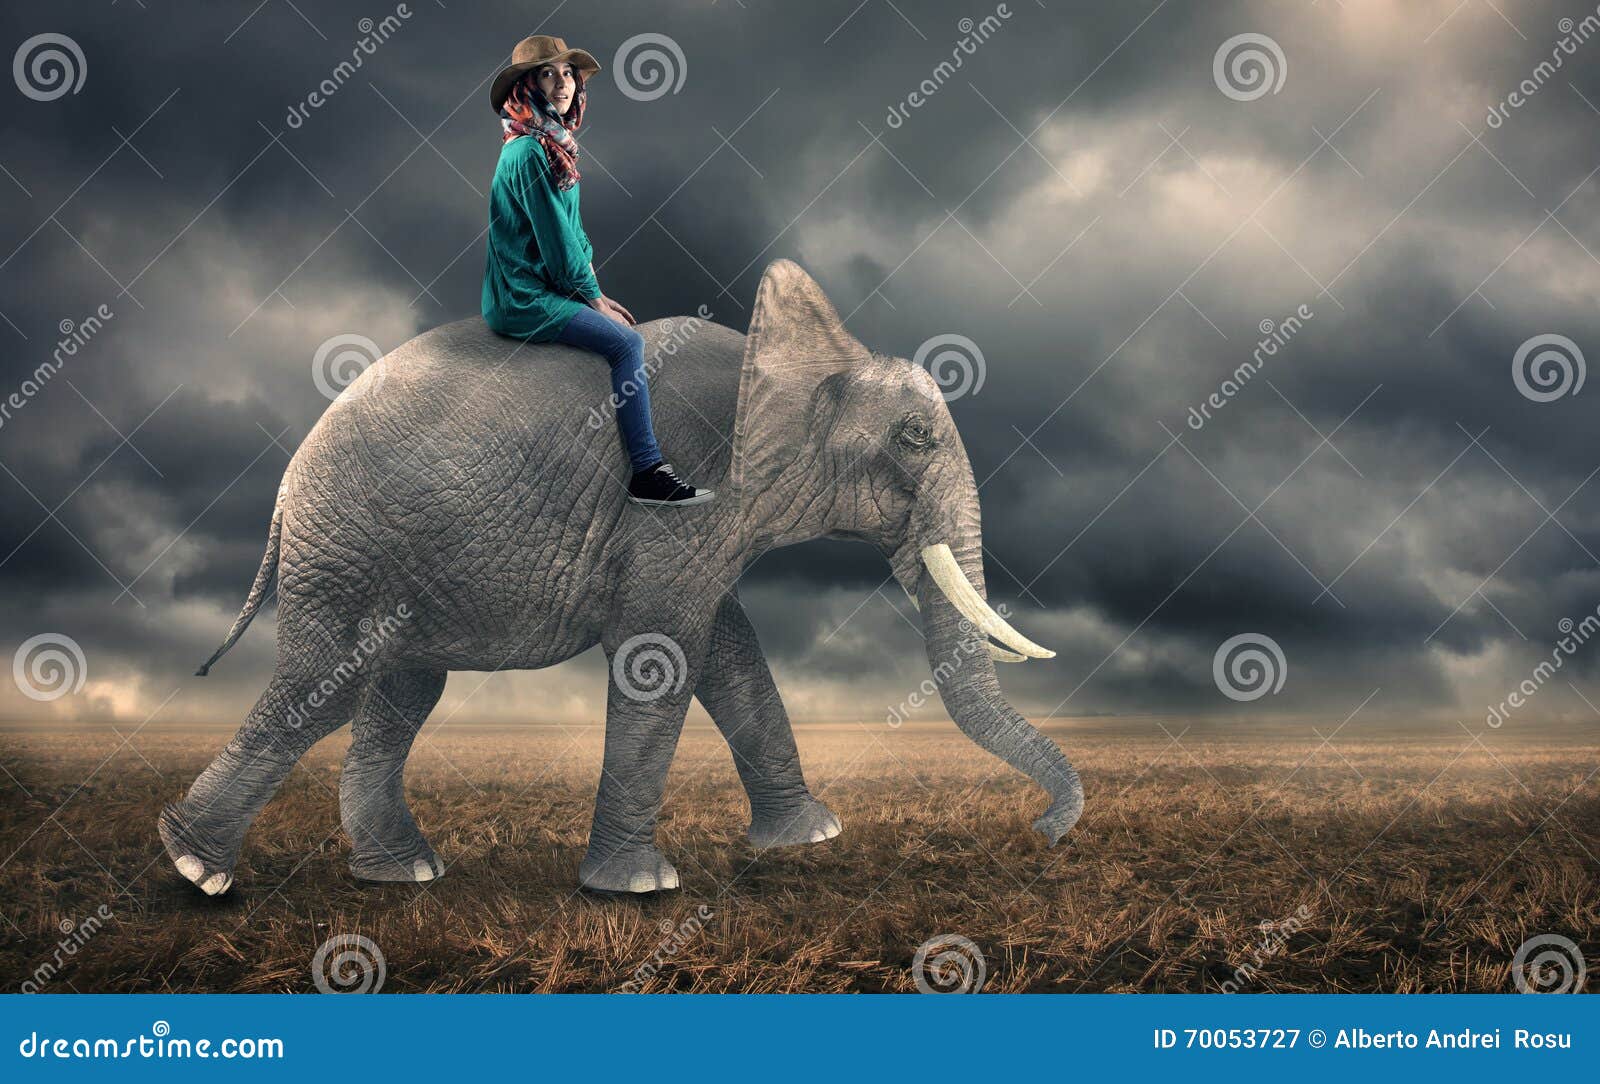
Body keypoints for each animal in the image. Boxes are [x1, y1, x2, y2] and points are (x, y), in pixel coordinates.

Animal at [162, 258, 1083, 896]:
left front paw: (814, 837)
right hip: (347, 548)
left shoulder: (708, 520)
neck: (779, 356)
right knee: (329, 688)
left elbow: (730, 655)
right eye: (914, 438)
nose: (1045, 829)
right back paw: (195, 871)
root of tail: (285, 492)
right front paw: (641, 887)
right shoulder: (676, 496)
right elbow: (662, 656)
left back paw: (404, 874)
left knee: (403, 692)